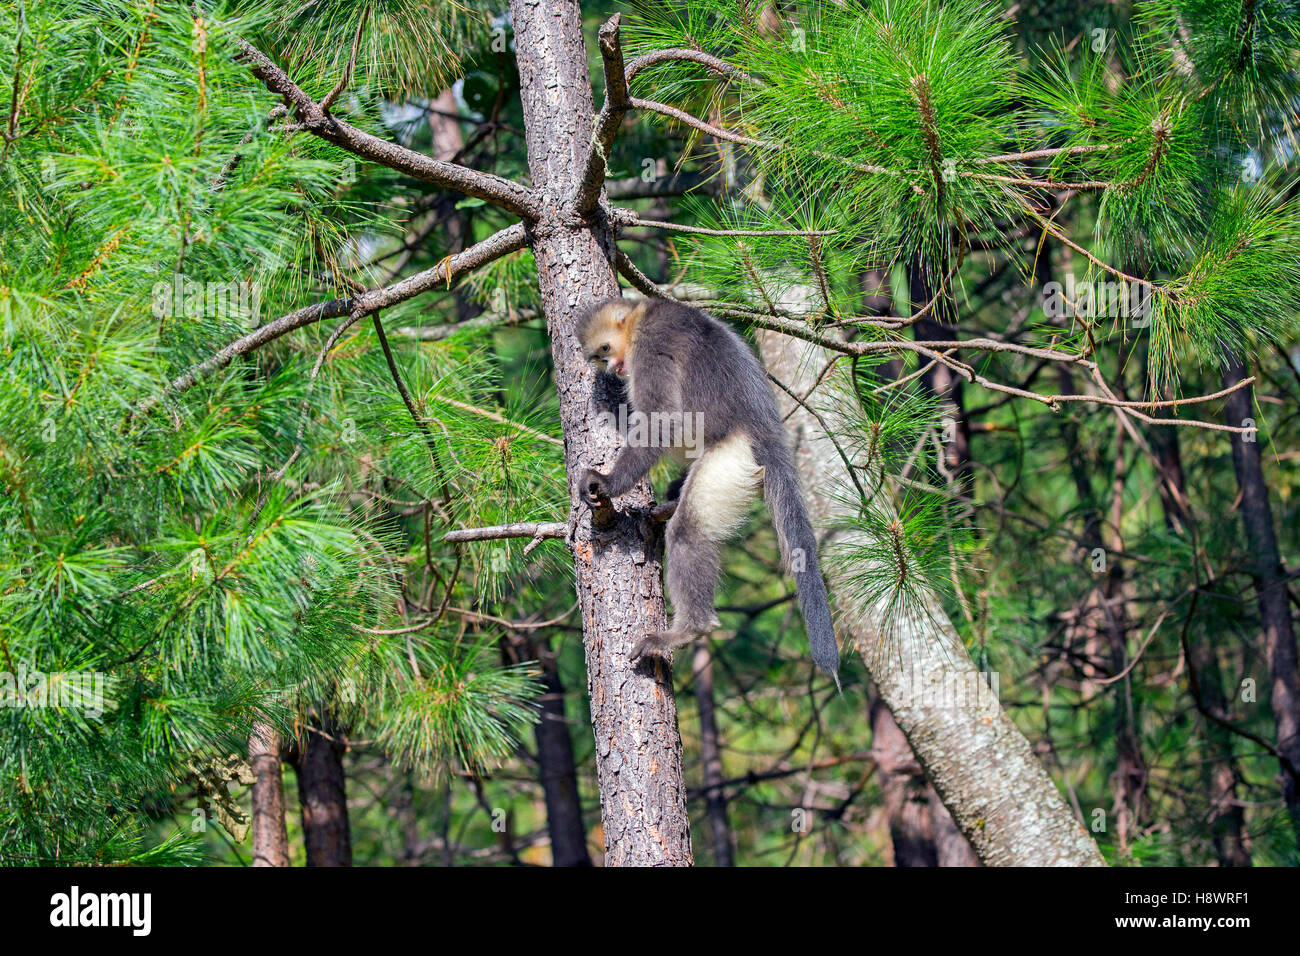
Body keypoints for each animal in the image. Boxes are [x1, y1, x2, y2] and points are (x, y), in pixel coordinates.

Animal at [576, 297, 840, 687]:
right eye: (598, 356)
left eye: (605, 349)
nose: (609, 366)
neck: (641, 315)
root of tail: (767, 435)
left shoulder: (652, 343)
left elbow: (662, 420)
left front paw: (608, 481)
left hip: (731, 462)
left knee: (688, 531)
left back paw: (689, 629)